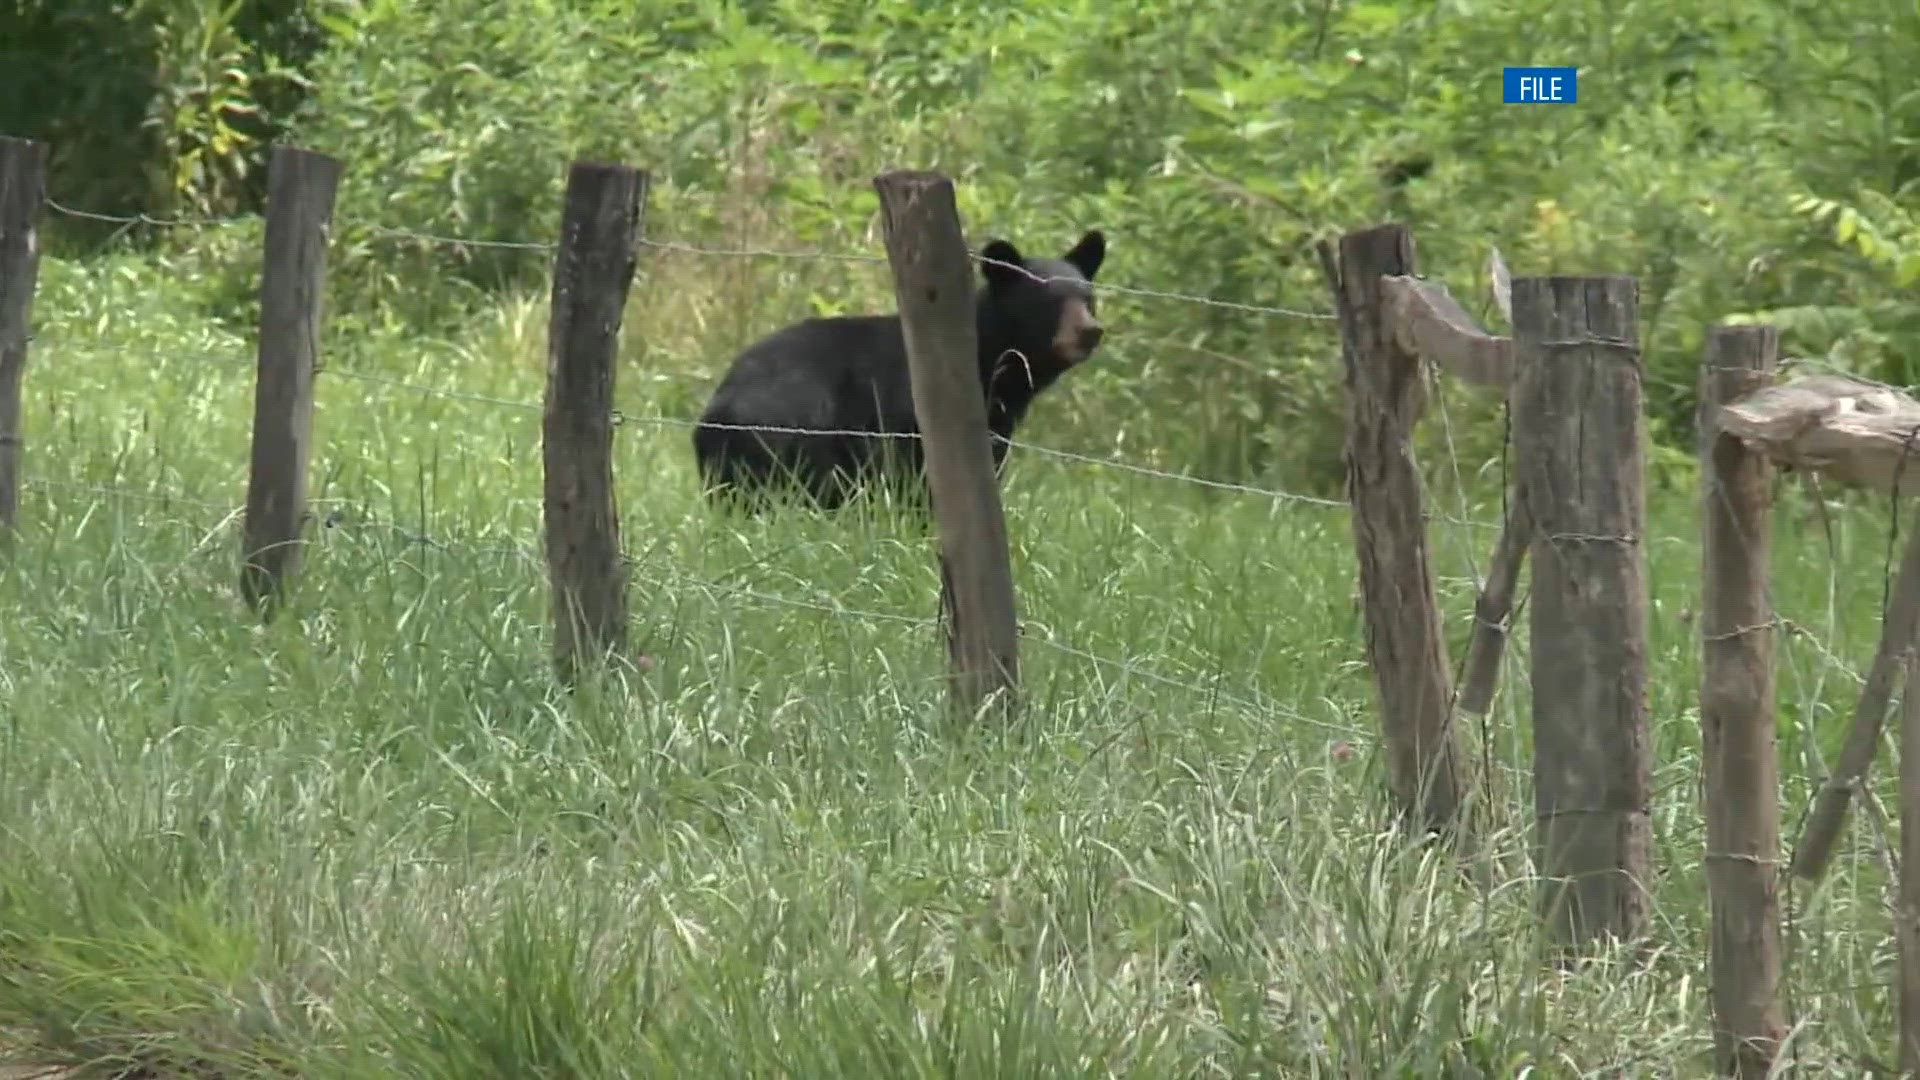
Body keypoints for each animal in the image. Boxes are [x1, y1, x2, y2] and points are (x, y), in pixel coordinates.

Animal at [690, 229, 1107, 512]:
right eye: (1047, 300)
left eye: (1088, 298)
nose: (1090, 331)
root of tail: (716, 414)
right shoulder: (907, 414)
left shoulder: (998, 421)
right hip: (797, 437)